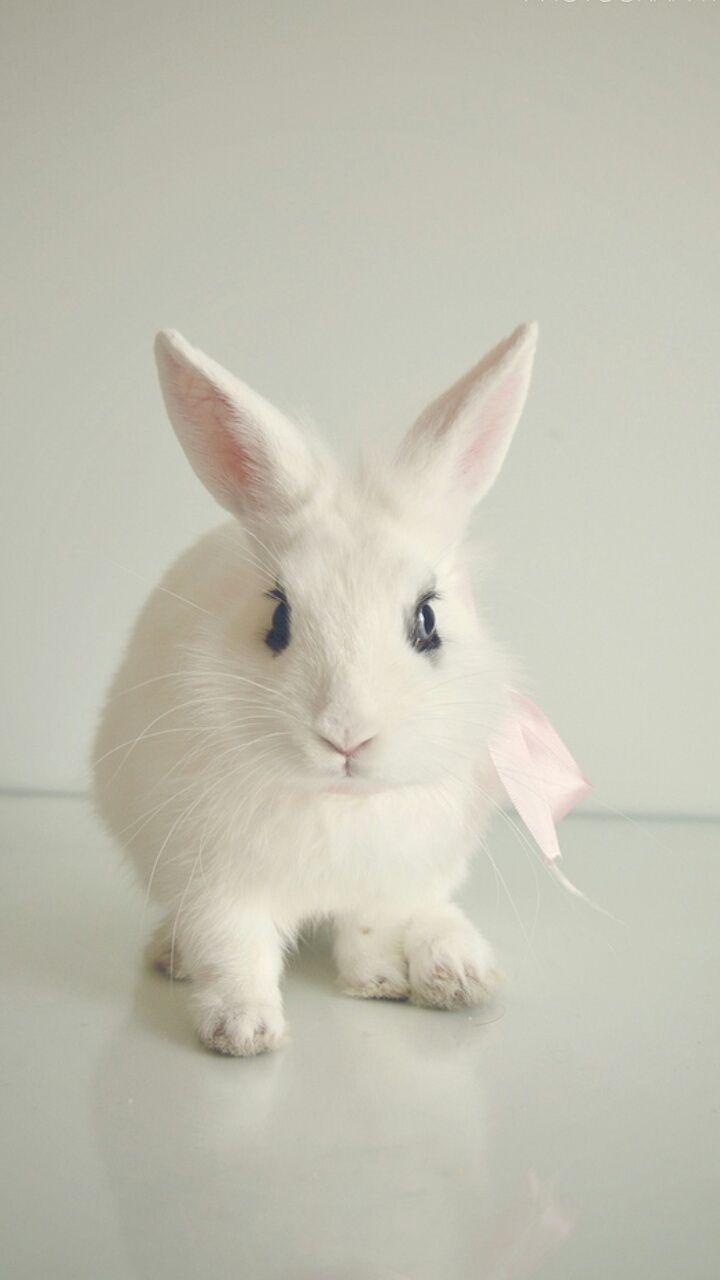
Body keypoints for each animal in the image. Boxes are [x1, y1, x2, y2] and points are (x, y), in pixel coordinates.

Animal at [93, 321, 538, 1056]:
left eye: (428, 621)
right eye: (278, 618)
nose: (346, 736)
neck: (339, 801)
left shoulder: (383, 883)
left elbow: (369, 932)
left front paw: (377, 982)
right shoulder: (219, 885)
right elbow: (234, 950)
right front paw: (243, 1031)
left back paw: (454, 971)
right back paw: (171, 958)